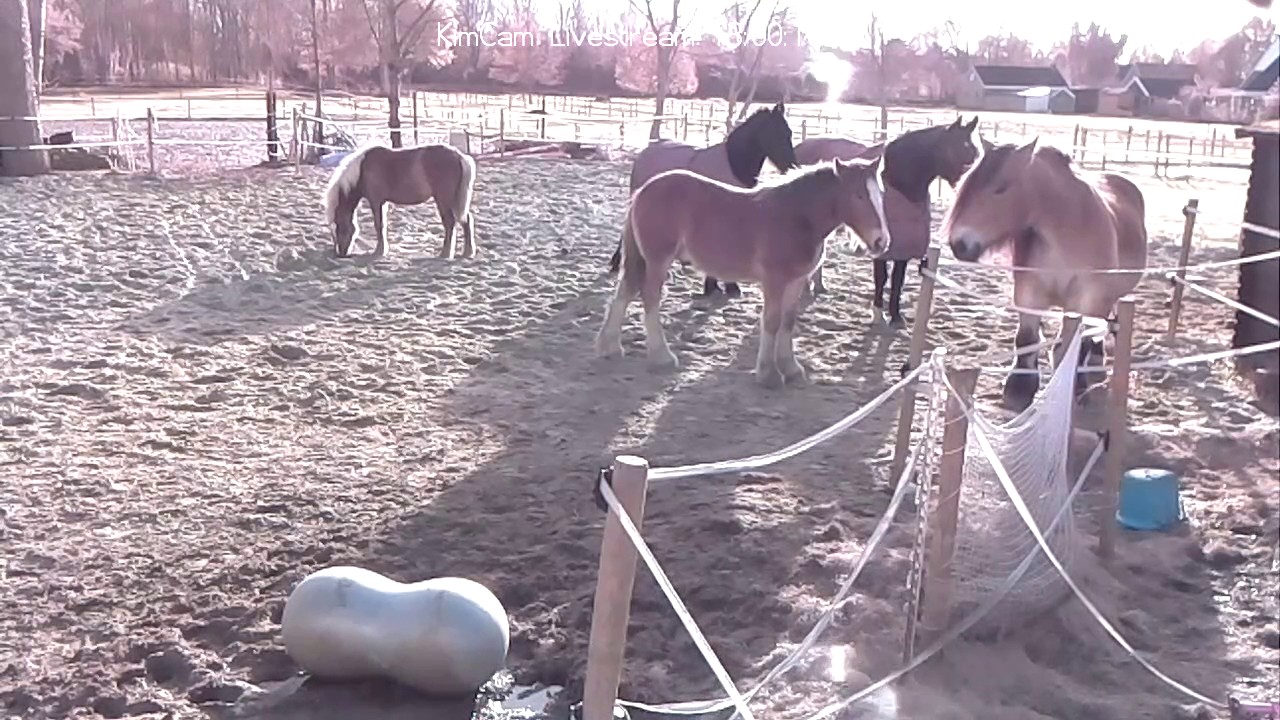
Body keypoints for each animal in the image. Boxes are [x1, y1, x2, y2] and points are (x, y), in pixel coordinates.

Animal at [323, 142, 477, 259]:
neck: (362, 169)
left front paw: (379, 251)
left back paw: (445, 254)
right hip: (456, 200)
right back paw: (467, 253)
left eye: (340, 228)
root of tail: (460, 156)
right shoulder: (383, 203)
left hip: (444, 199)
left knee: (450, 223)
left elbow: (379, 225)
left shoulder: (376, 201)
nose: (341, 254)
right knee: (466, 220)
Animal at [595, 158, 893, 389]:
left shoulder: (796, 281)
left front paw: (791, 368)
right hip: (658, 259)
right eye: (858, 195)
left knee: (625, 292)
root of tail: (643, 190)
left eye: (880, 195)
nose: (882, 242)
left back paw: (610, 347)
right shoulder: (774, 281)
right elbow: (772, 322)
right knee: (649, 298)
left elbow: (788, 321)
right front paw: (768, 374)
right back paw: (661, 357)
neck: (797, 217)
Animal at [605, 102, 798, 299]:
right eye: (775, 133)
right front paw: (718, 285)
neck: (734, 164)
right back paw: (617, 262)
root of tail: (646, 152)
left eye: (789, 132)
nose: (791, 166)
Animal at [792, 117, 981, 328]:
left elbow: (898, 280)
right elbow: (881, 278)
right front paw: (878, 314)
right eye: (957, 151)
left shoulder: (903, 250)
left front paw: (896, 316)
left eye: (974, 154)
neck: (899, 185)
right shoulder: (882, 249)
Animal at [943, 138, 1148, 410]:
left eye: (1001, 188)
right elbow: (1027, 338)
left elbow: (1074, 345)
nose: (959, 244)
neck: (1066, 230)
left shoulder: (1086, 299)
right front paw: (1019, 389)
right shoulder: (1029, 292)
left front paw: (1075, 387)